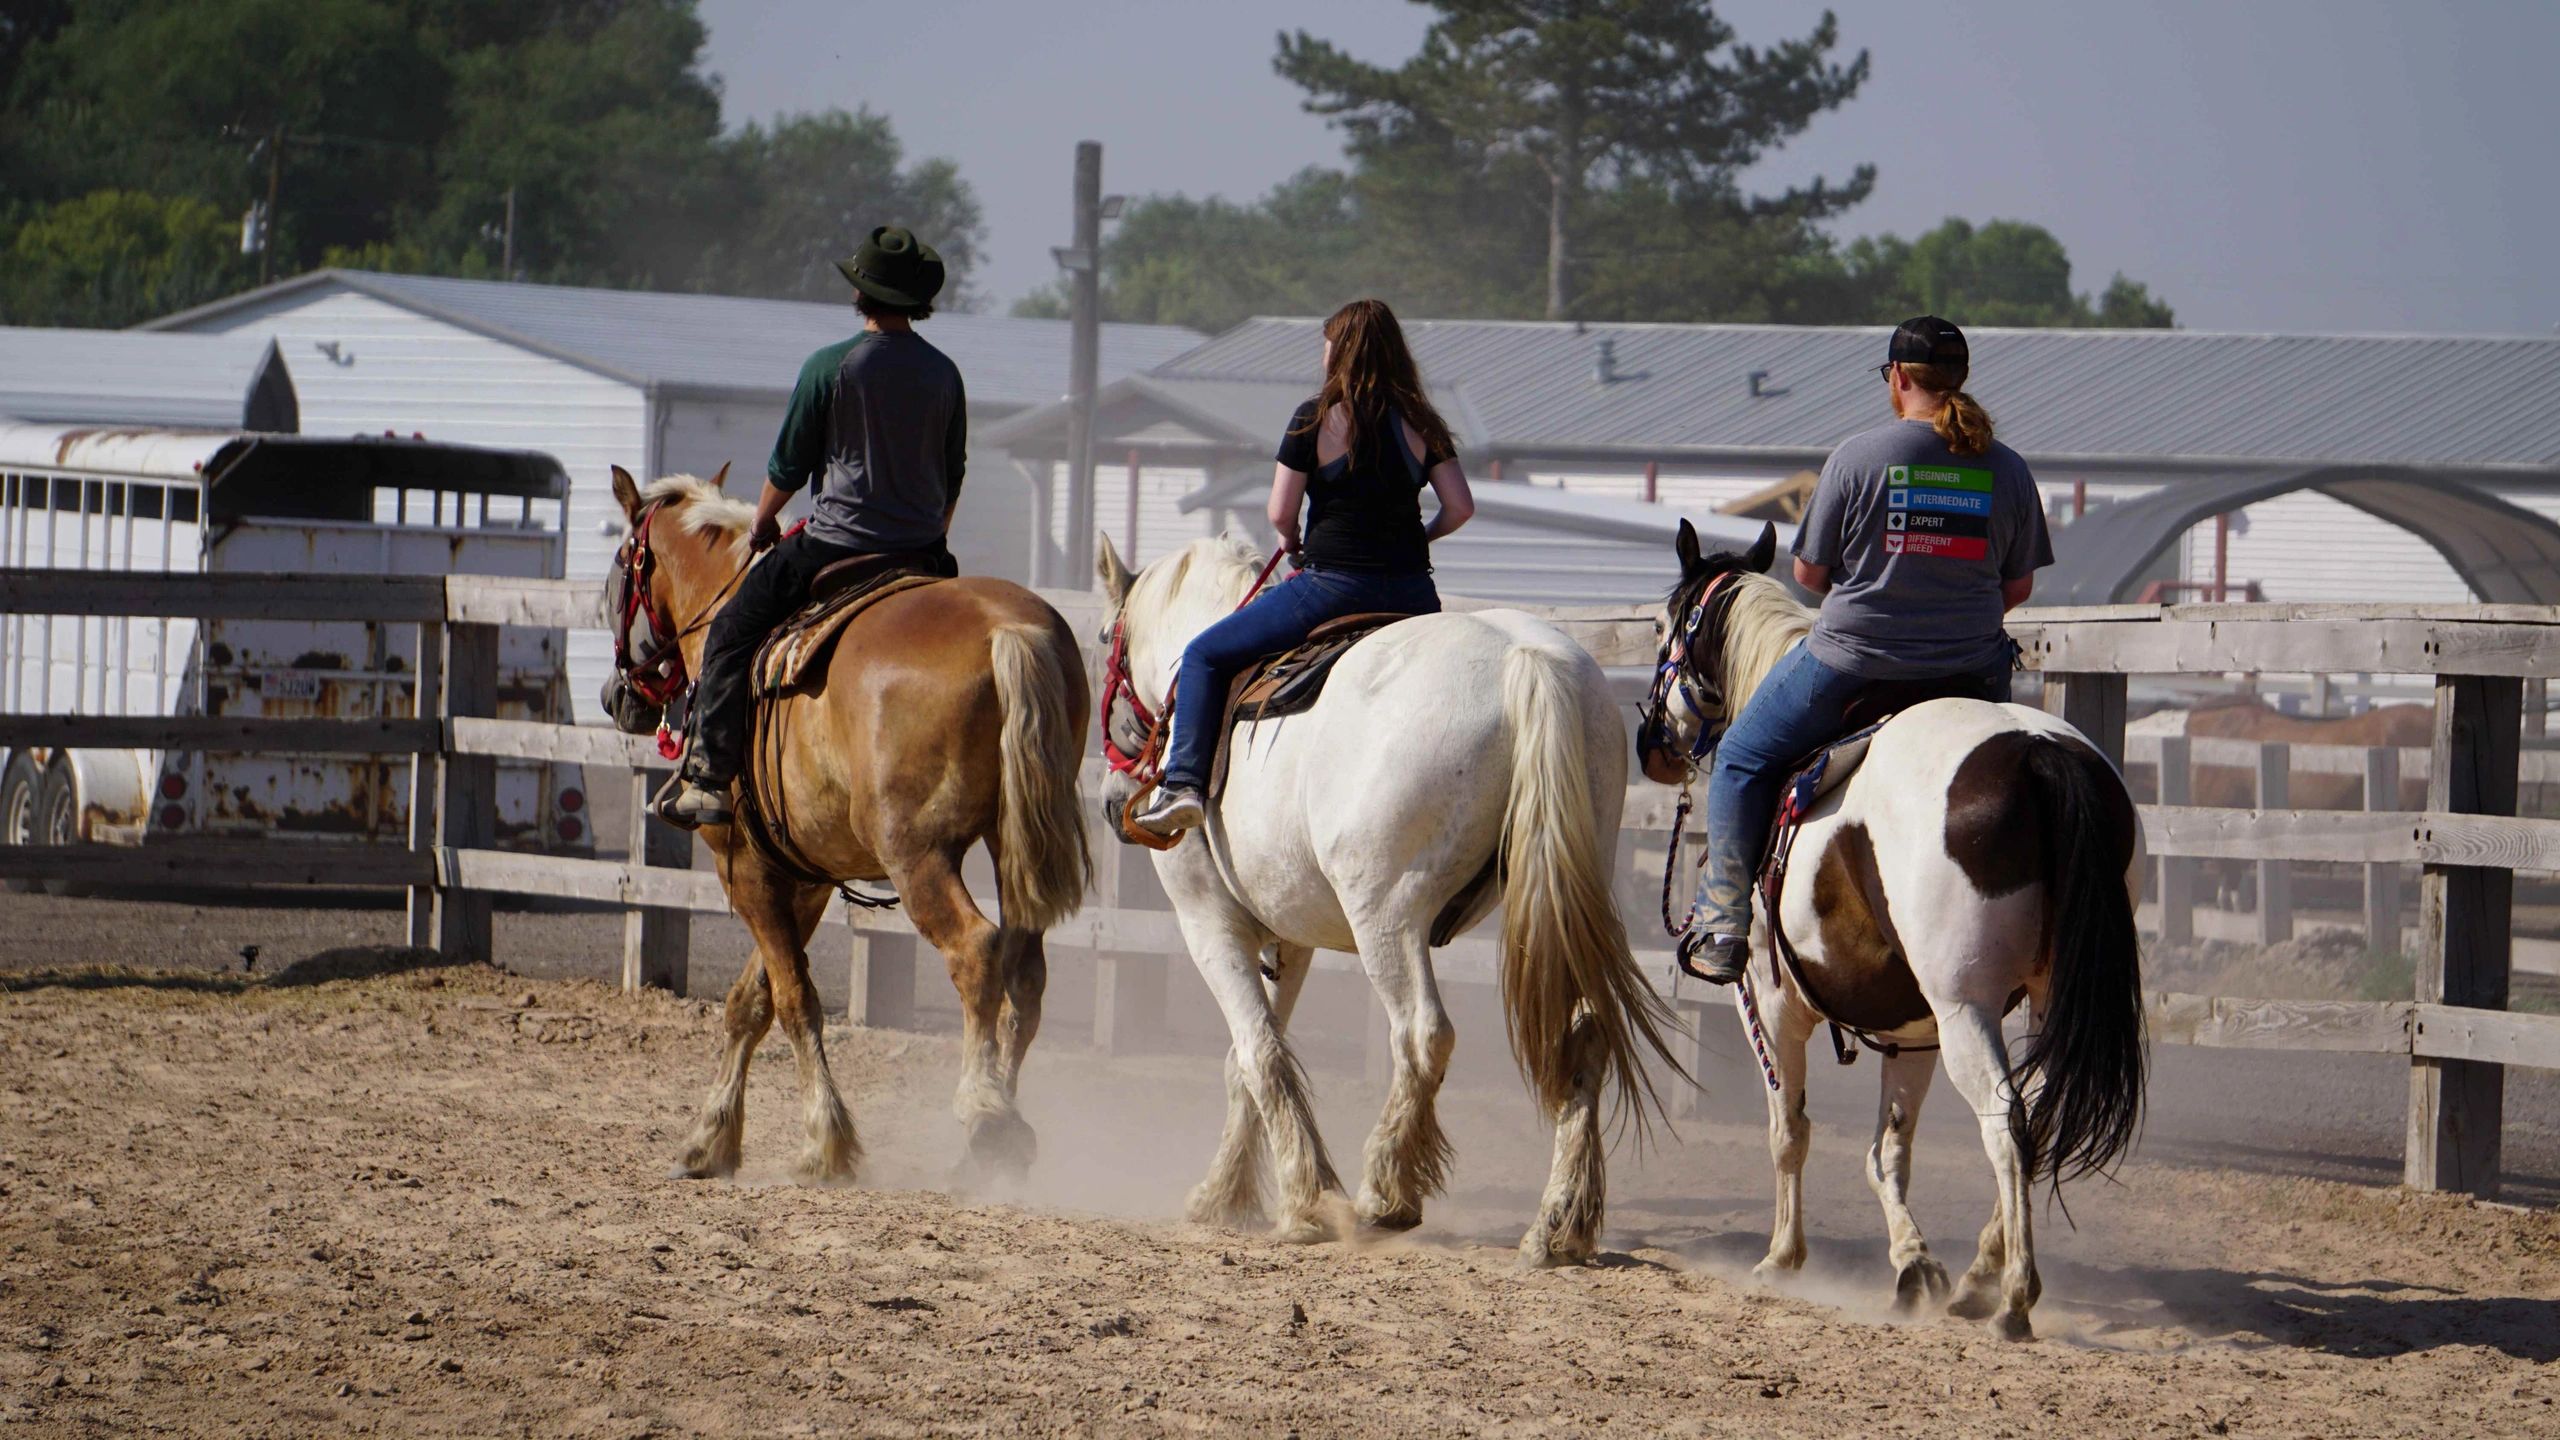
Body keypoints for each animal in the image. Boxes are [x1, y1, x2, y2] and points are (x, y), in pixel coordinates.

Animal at [602, 466, 1092, 1184]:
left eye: (620, 568)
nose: (617, 696)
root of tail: (1006, 628)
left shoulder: (743, 867)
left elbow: (794, 998)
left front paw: (823, 1140)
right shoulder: (804, 877)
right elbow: (752, 1001)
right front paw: (710, 1139)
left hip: (916, 855)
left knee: (976, 951)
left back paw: (983, 1113)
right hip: (1009, 843)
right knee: (1025, 972)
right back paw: (1004, 1132)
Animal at [1093, 534, 1684, 1265]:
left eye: (1104, 641)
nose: (1115, 802)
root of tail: (1525, 659)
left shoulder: (1208, 922)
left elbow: (1258, 1053)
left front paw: (1306, 1202)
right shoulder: (1288, 938)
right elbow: (1252, 1059)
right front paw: (1226, 1194)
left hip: (1387, 917)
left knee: (1423, 1033)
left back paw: (1385, 1192)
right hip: (1561, 901)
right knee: (1585, 1035)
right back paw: (1558, 1224)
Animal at [1635, 520, 2147, 1341]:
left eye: (1663, 625)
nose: (1652, 743)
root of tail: (2039, 755)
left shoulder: (1772, 1004)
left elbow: (1790, 1130)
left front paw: (1783, 1257)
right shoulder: (1911, 1031)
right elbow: (1887, 1151)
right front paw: (1914, 1266)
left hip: (1967, 1006)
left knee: (2006, 1124)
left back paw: (2014, 1297)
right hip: (2042, 999)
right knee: (2036, 1118)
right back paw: (1977, 1279)